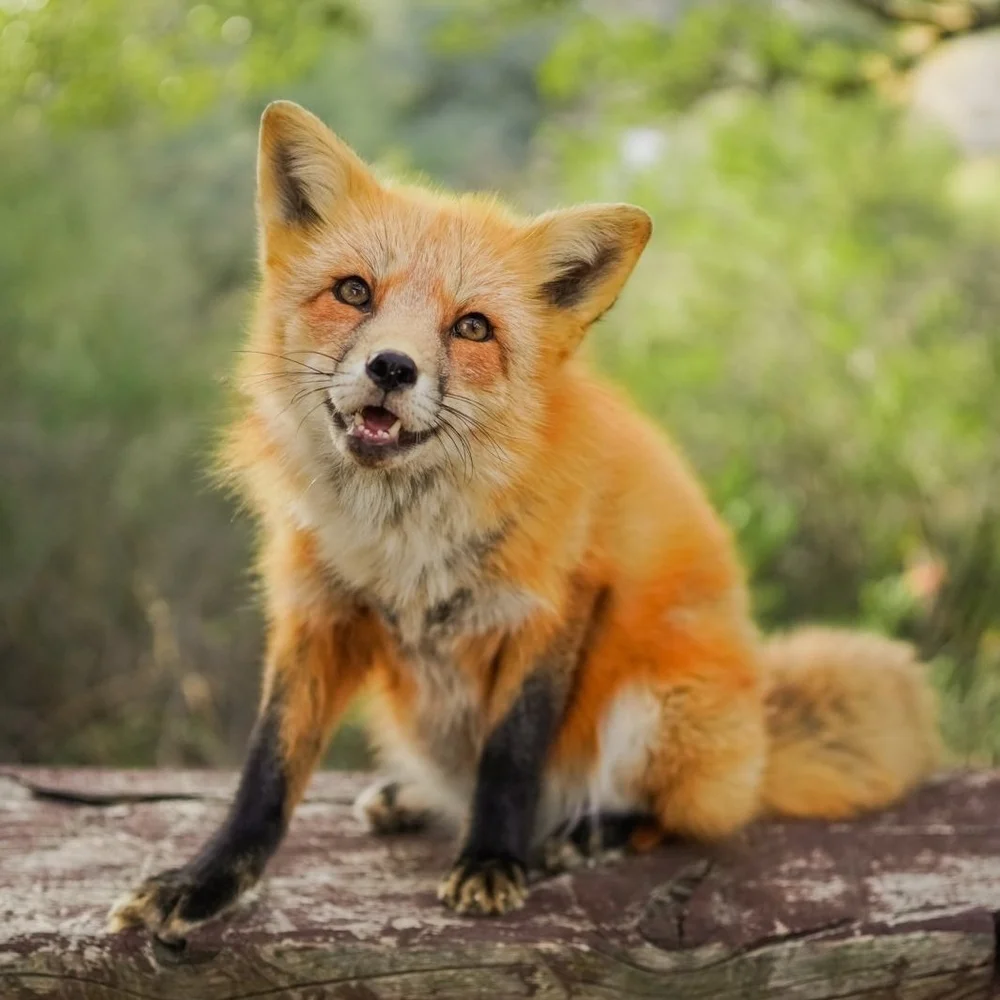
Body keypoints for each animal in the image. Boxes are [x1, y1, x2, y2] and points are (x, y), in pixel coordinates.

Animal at [110, 100, 941, 942]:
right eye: (353, 291)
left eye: (472, 328)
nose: (391, 368)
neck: (406, 534)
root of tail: (763, 737)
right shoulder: (319, 612)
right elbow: (267, 771)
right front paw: (206, 881)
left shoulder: (553, 605)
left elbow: (510, 757)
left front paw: (491, 862)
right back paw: (415, 799)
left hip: (656, 704)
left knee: (687, 816)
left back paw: (584, 835)